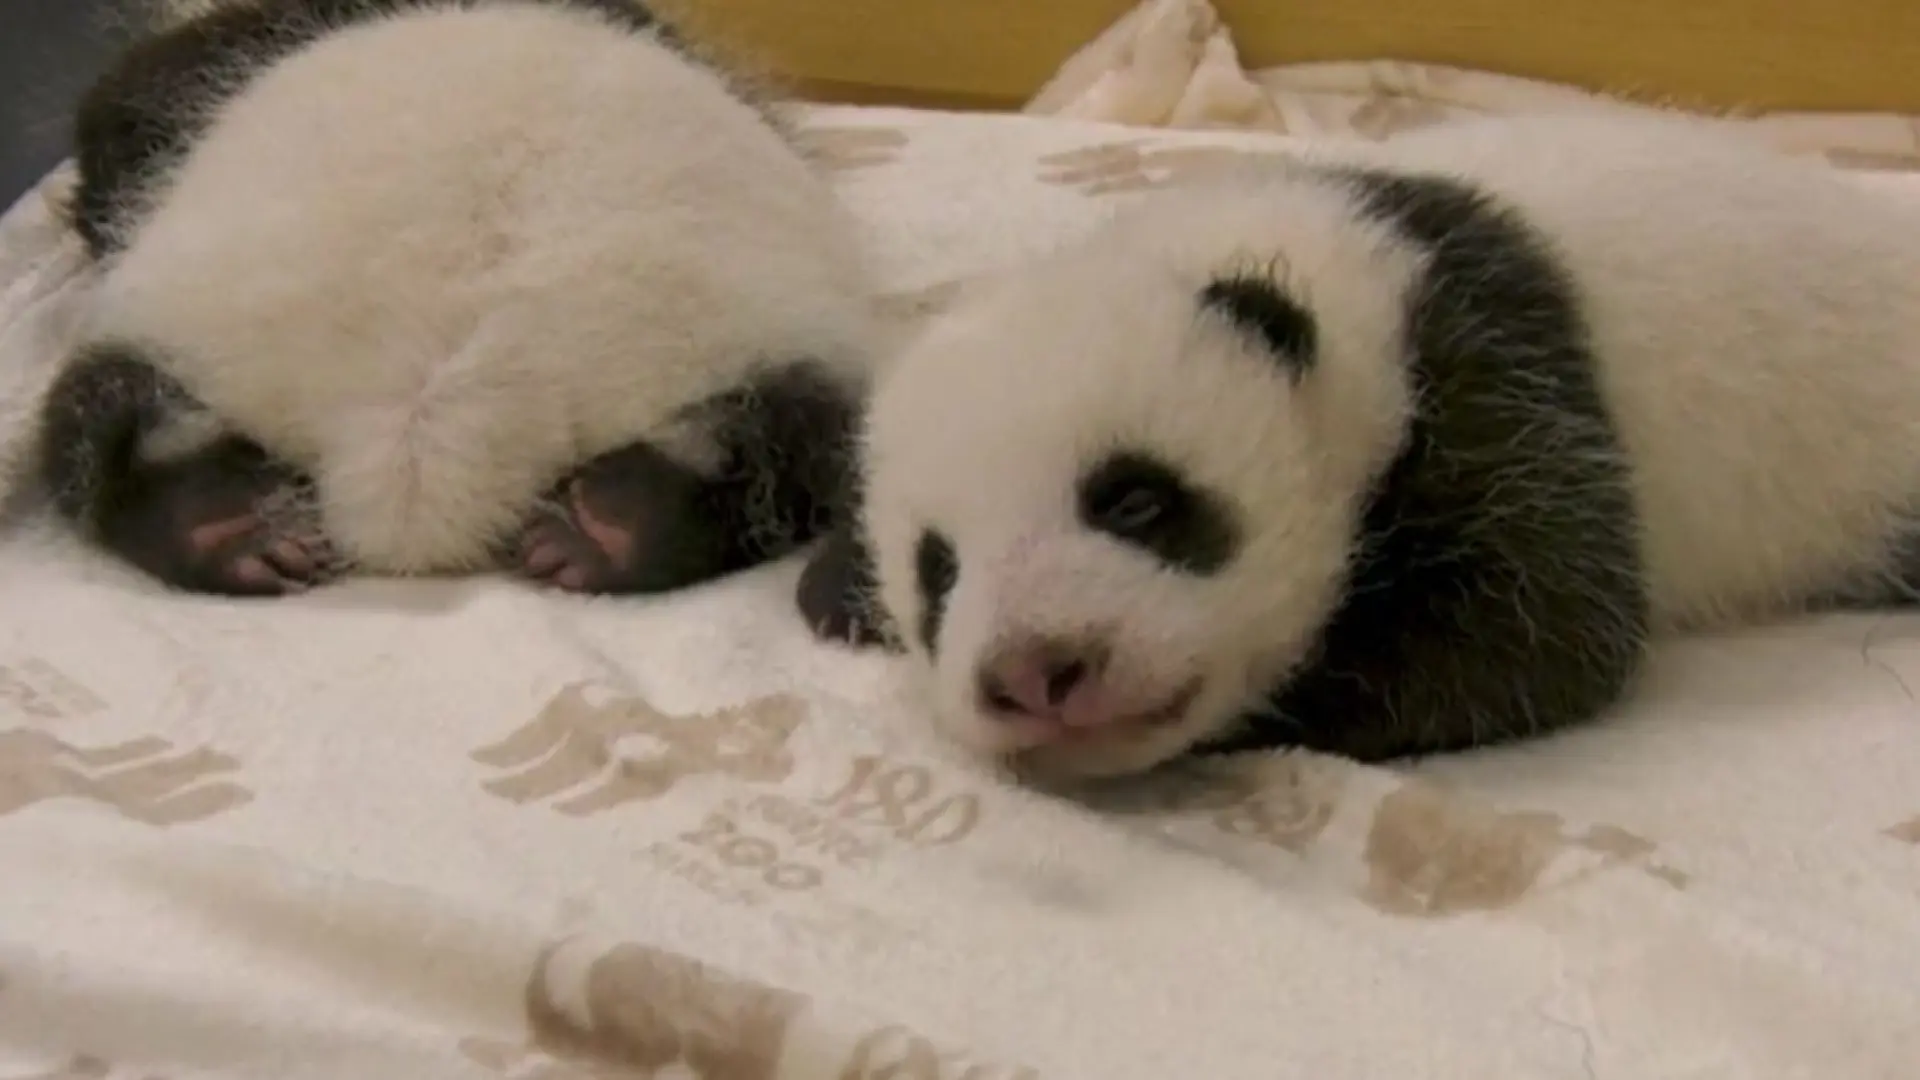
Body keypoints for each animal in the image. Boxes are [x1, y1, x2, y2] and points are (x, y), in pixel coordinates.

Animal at [796, 112, 1920, 781]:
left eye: (1134, 499)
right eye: (938, 571)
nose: (1036, 671)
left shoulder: (1488, 365)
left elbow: (1545, 630)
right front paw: (834, 582)